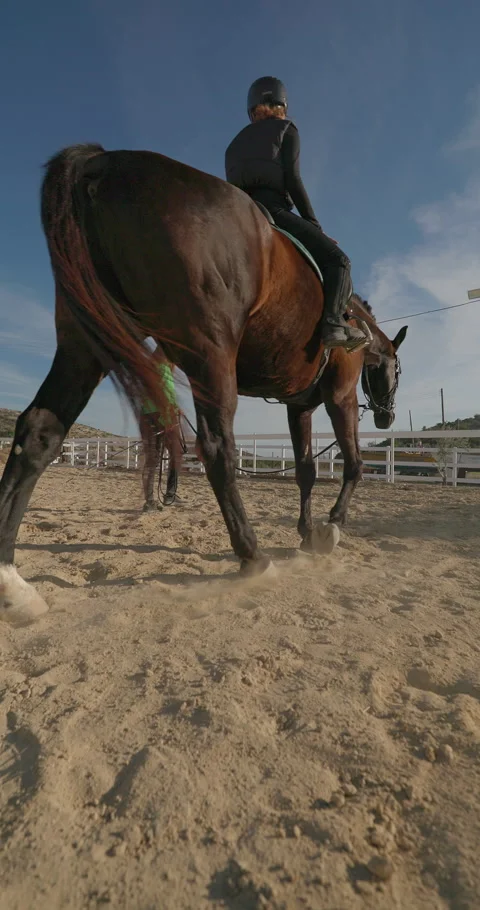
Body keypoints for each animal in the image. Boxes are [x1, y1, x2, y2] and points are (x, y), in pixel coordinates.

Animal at [0, 144, 407, 623]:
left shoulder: (298, 406)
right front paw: (331, 529)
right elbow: (354, 464)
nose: (387, 417)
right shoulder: (339, 398)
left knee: (38, 434)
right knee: (216, 448)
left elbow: (306, 471)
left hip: (84, 347)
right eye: (396, 370)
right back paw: (252, 555)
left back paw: (11, 582)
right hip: (208, 357)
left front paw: (307, 533)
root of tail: (104, 162)